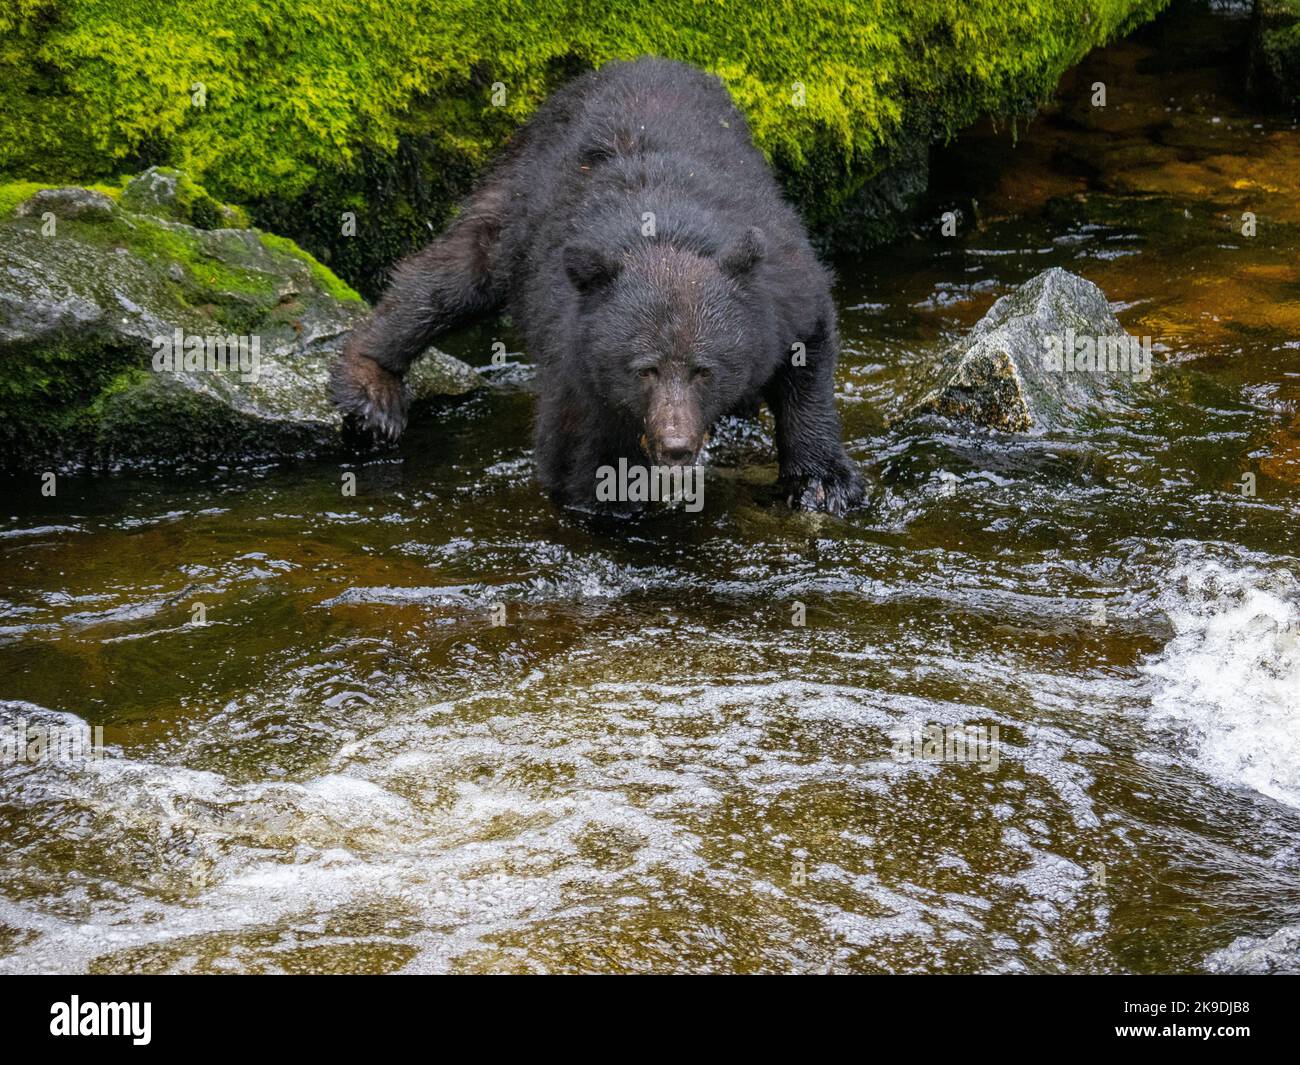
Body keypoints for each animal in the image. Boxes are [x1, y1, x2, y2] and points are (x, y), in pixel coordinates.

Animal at [330, 56, 864, 515]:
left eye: (703, 370)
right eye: (645, 369)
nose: (676, 445)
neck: (666, 235)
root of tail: (630, 63)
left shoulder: (783, 286)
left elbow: (807, 360)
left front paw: (821, 481)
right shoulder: (578, 363)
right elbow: (578, 461)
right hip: (516, 206)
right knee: (454, 277)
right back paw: (372, 389)